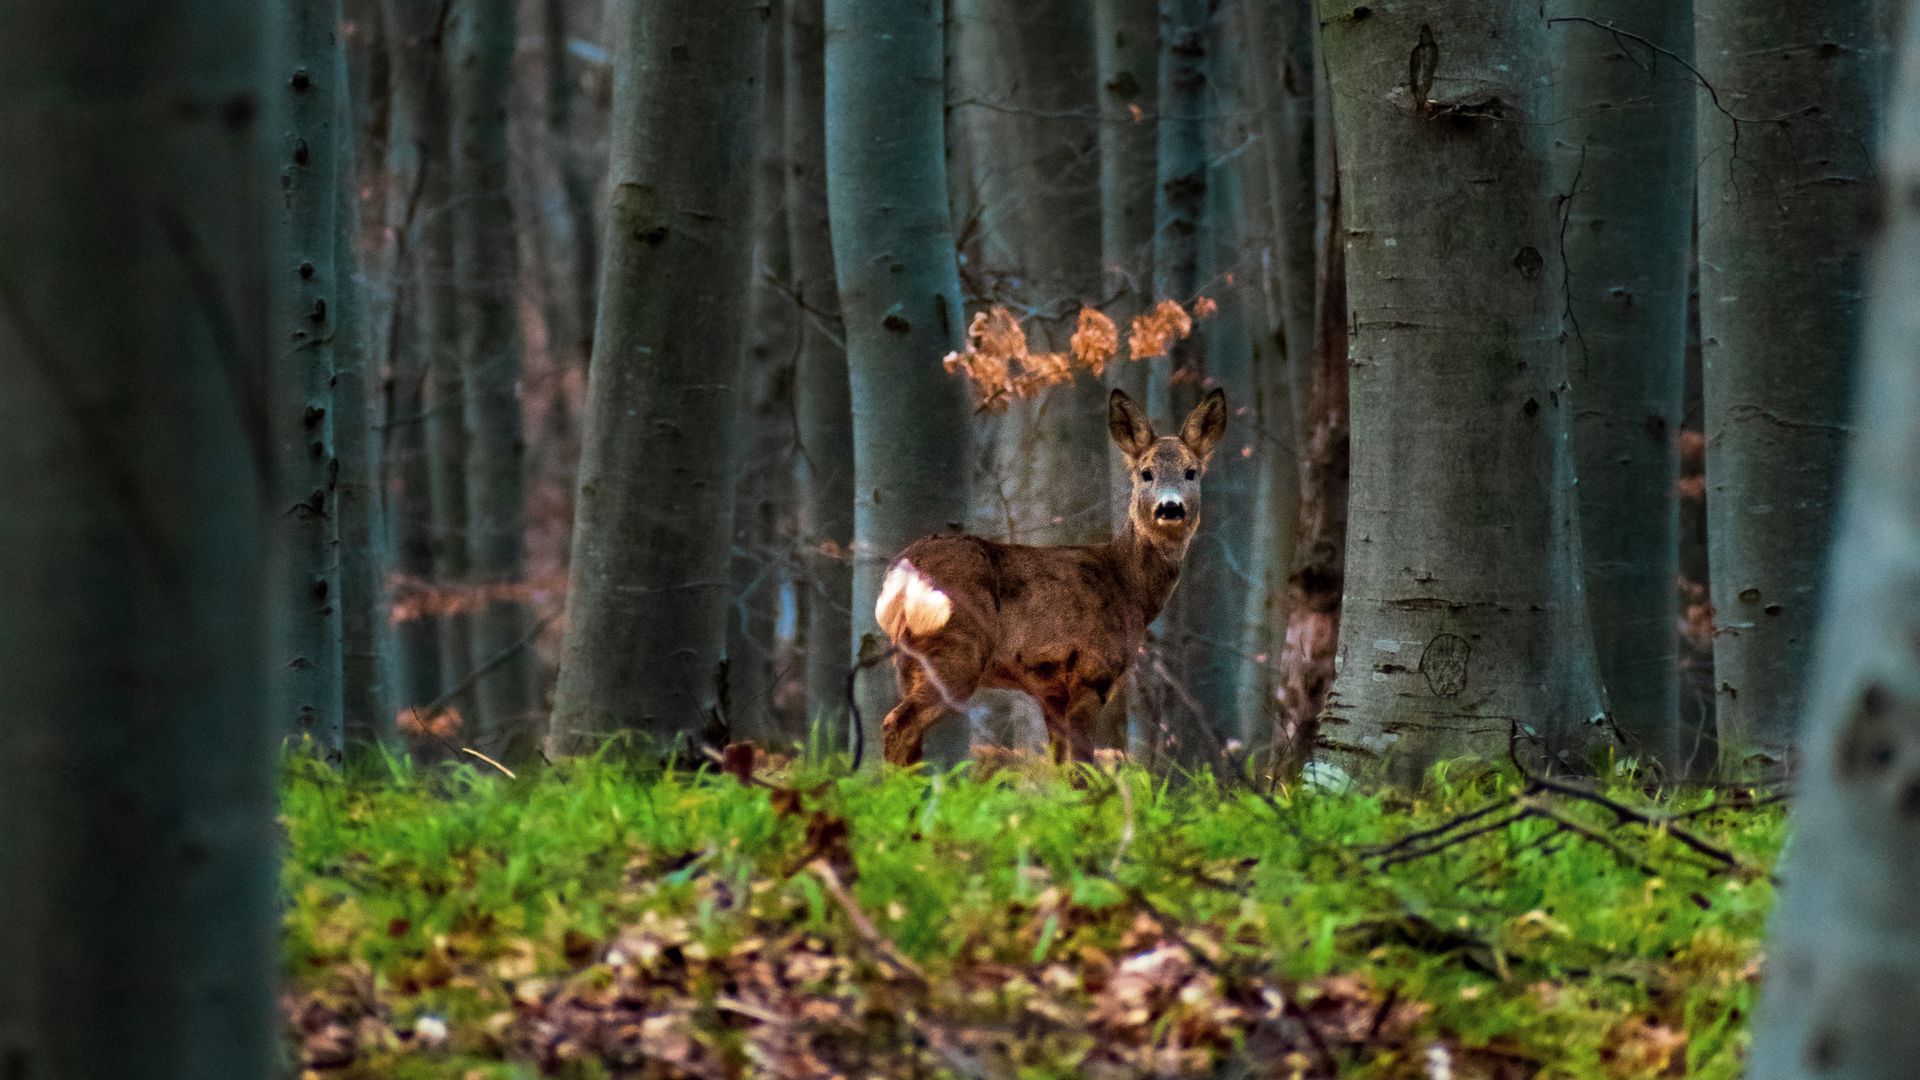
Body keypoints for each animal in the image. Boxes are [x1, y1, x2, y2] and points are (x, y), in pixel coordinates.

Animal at [871, 386, 1228, 766]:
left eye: (1191, 472)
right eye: (1146, 473)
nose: (1170, 507)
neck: (1127, 587)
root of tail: (901, 572)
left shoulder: (1051, 690)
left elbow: (1060, 768)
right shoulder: (1090, 673)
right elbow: (1083, 767)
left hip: (909, 660)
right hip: (956, 648)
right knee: (898, 723)